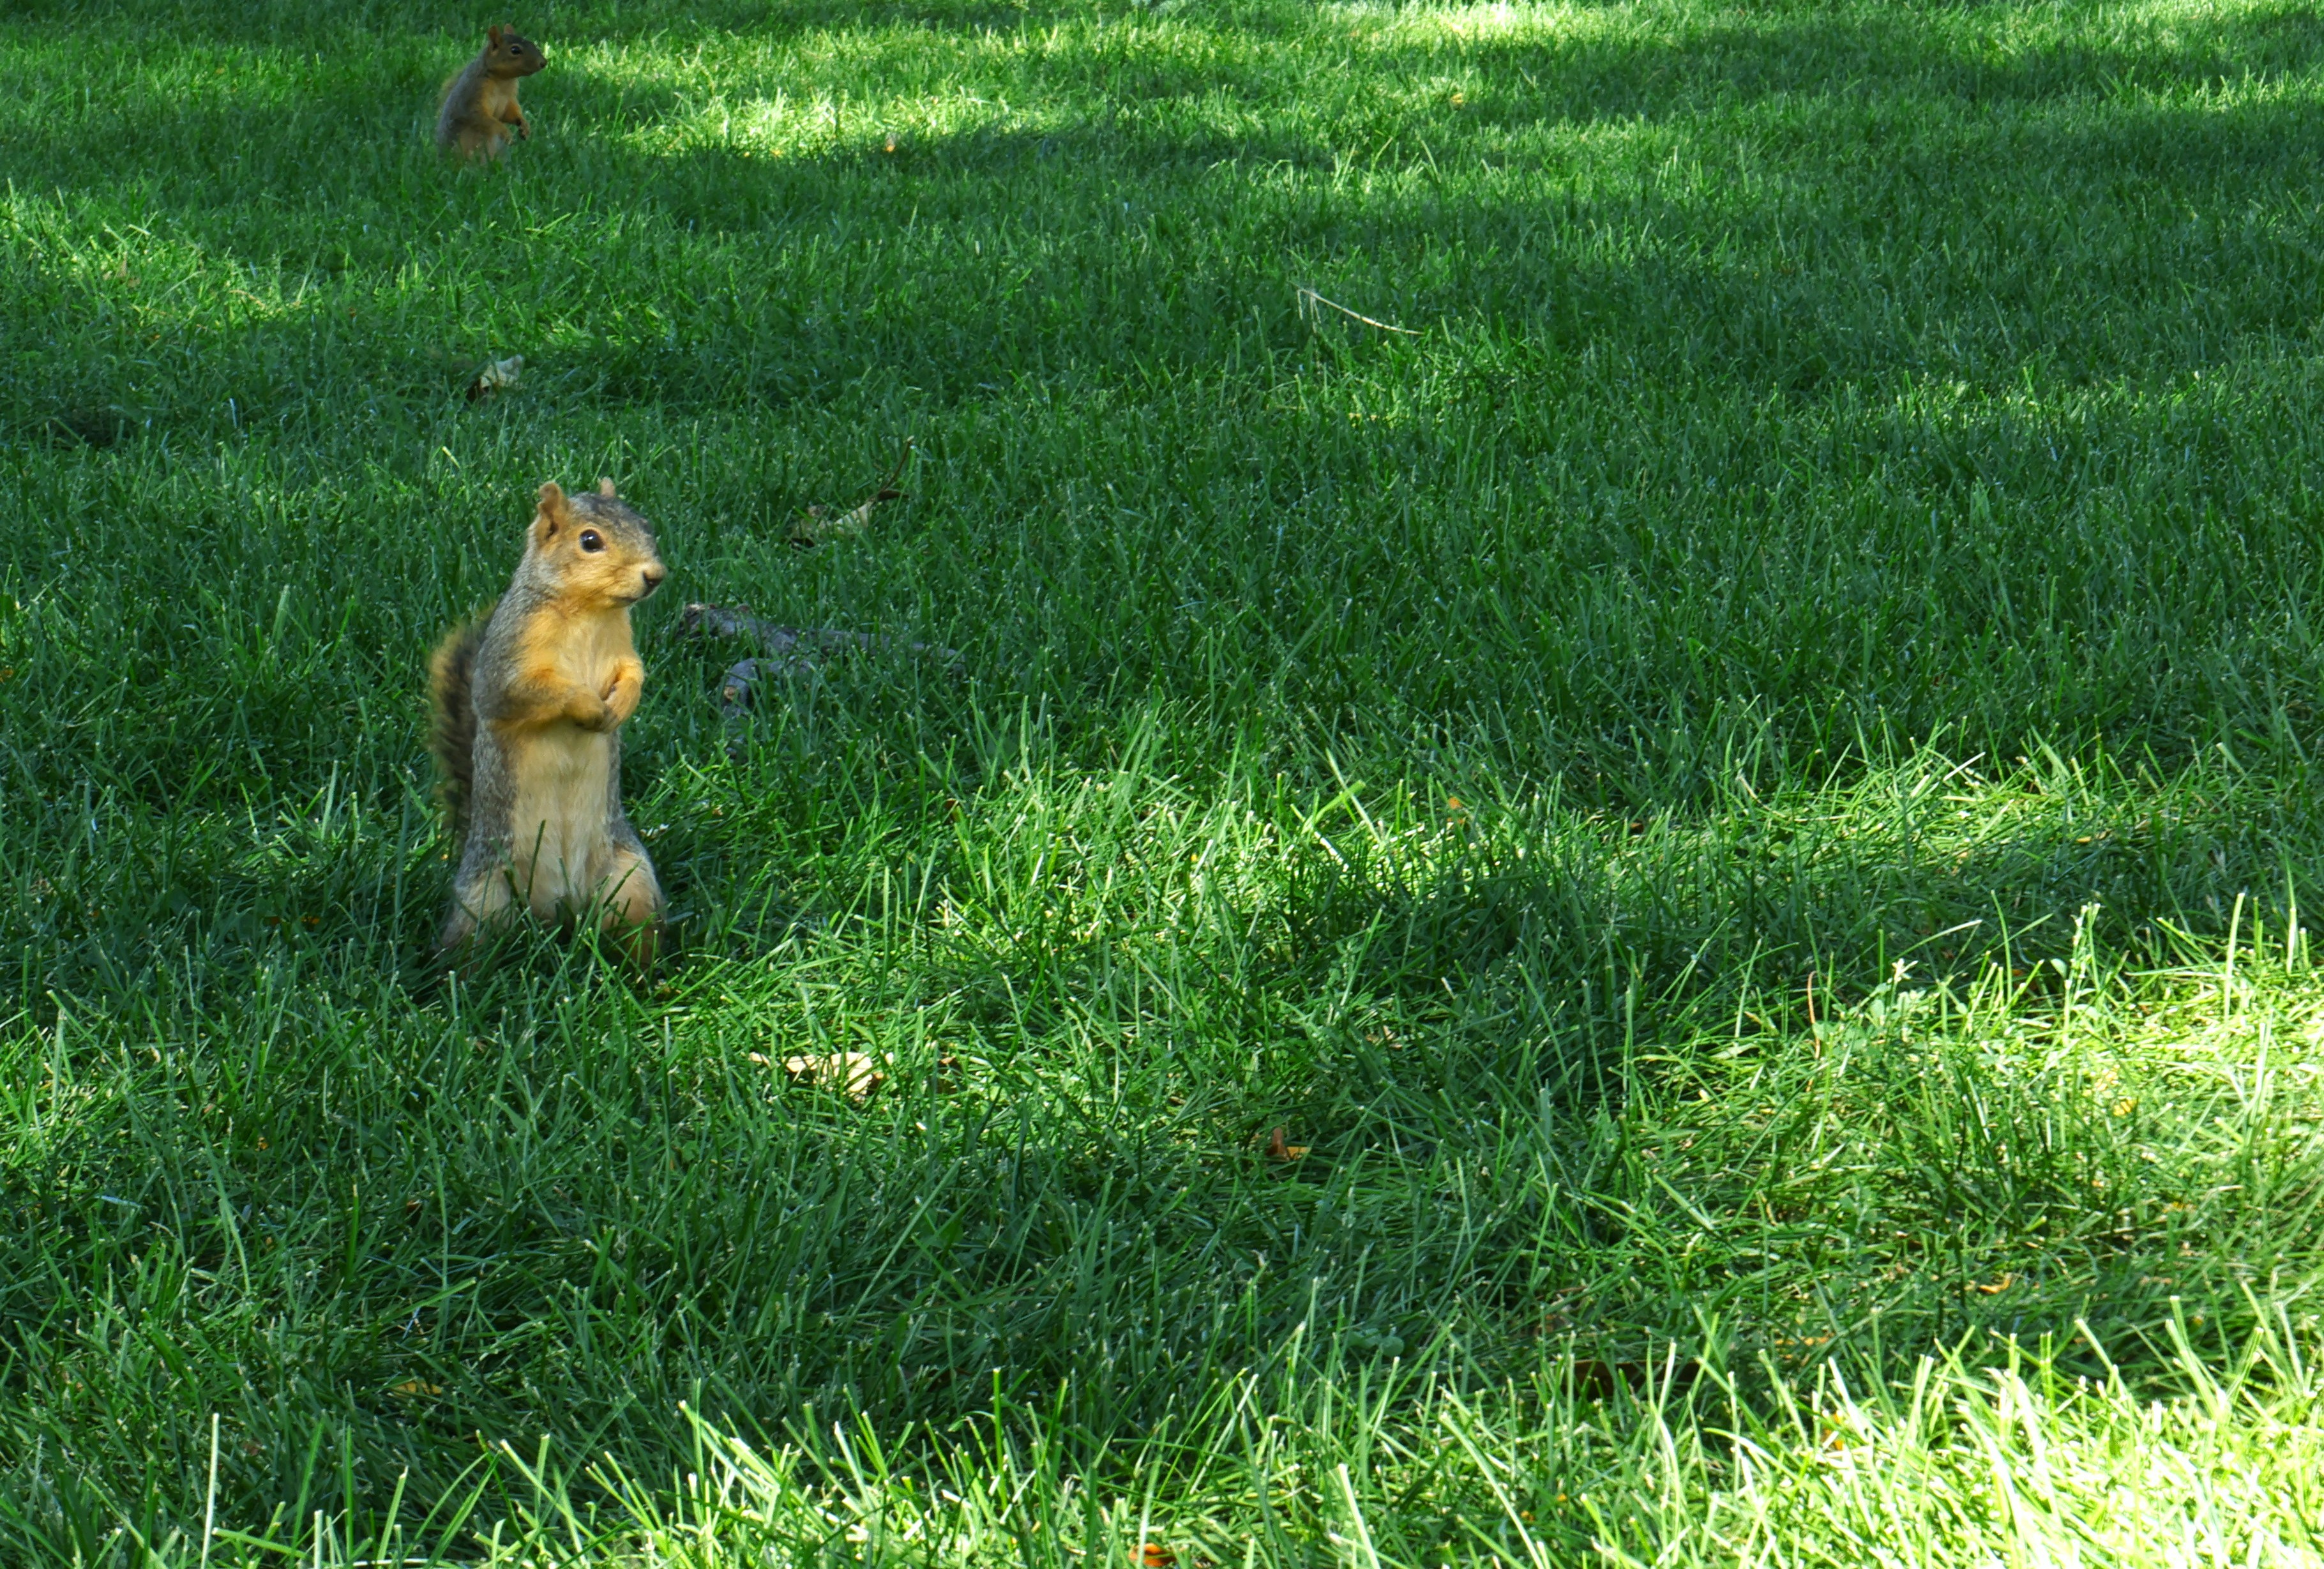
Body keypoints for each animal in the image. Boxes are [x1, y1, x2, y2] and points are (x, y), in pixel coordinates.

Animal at [429, 479, 668, 961]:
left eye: (645, 523)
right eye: (589, 541)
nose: (655, 575)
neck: (588, 612)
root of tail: (560, 910)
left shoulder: (624, 645)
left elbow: (633, 673)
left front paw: (622, 705)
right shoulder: (508, 663)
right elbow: (528, 693)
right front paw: (589, 706)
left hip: (630, 882)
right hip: (484, 896)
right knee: (471, 948)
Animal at [436, 25, 546, 161]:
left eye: (532, 43)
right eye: (515, 50)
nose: (544, 63)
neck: (503, 81)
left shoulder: (509, 99)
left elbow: (509, 113)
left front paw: (525, 125)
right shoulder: (473, 93)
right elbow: (483, 118)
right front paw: (505, 133)